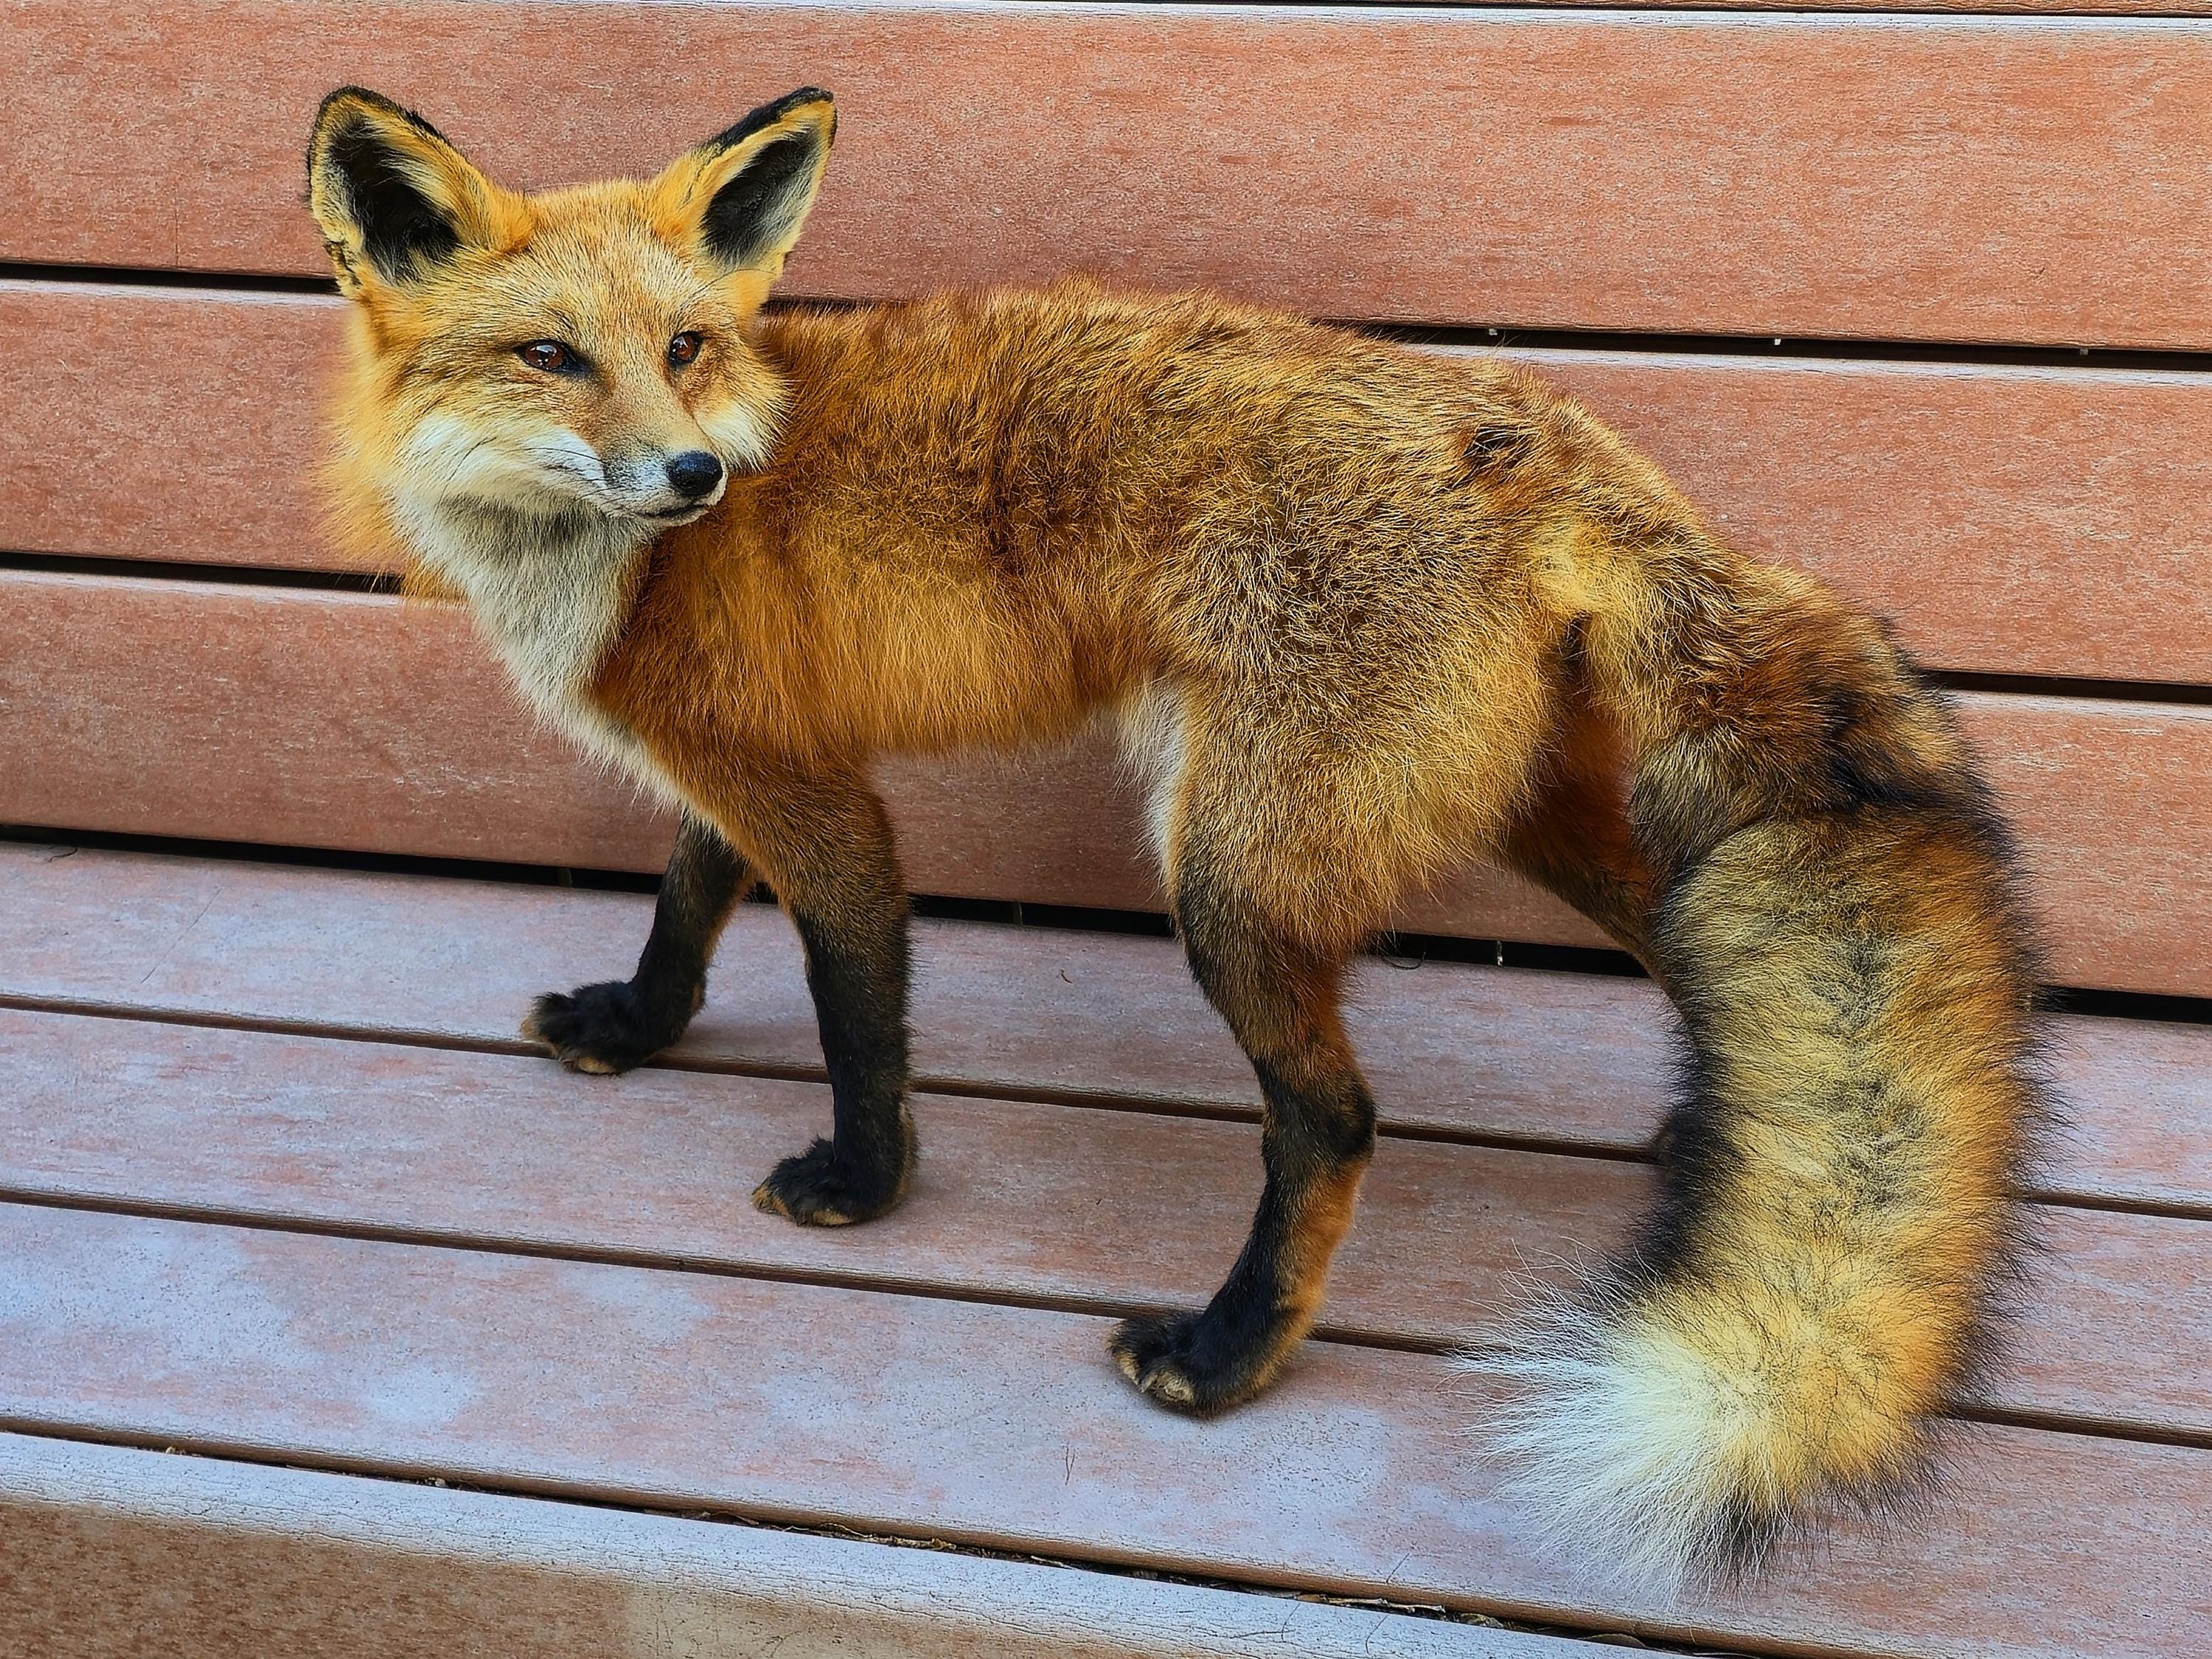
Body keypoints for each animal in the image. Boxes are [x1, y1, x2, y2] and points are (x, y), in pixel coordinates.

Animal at [306, 85, 2045, 1588]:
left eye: (684, 345)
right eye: (549, 355)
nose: (691, 473)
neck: (604, 567)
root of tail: (1548, 442)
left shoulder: (822, 802)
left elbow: (858, 1013)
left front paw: (863, 1185)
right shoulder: (743, 766)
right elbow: (681, 910)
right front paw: (635, 1028)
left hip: (1230, 878)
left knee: (1334, 1123)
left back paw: (1229, 1352)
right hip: (1513, 816)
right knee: (1684, 945)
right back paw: (1708, 1141)